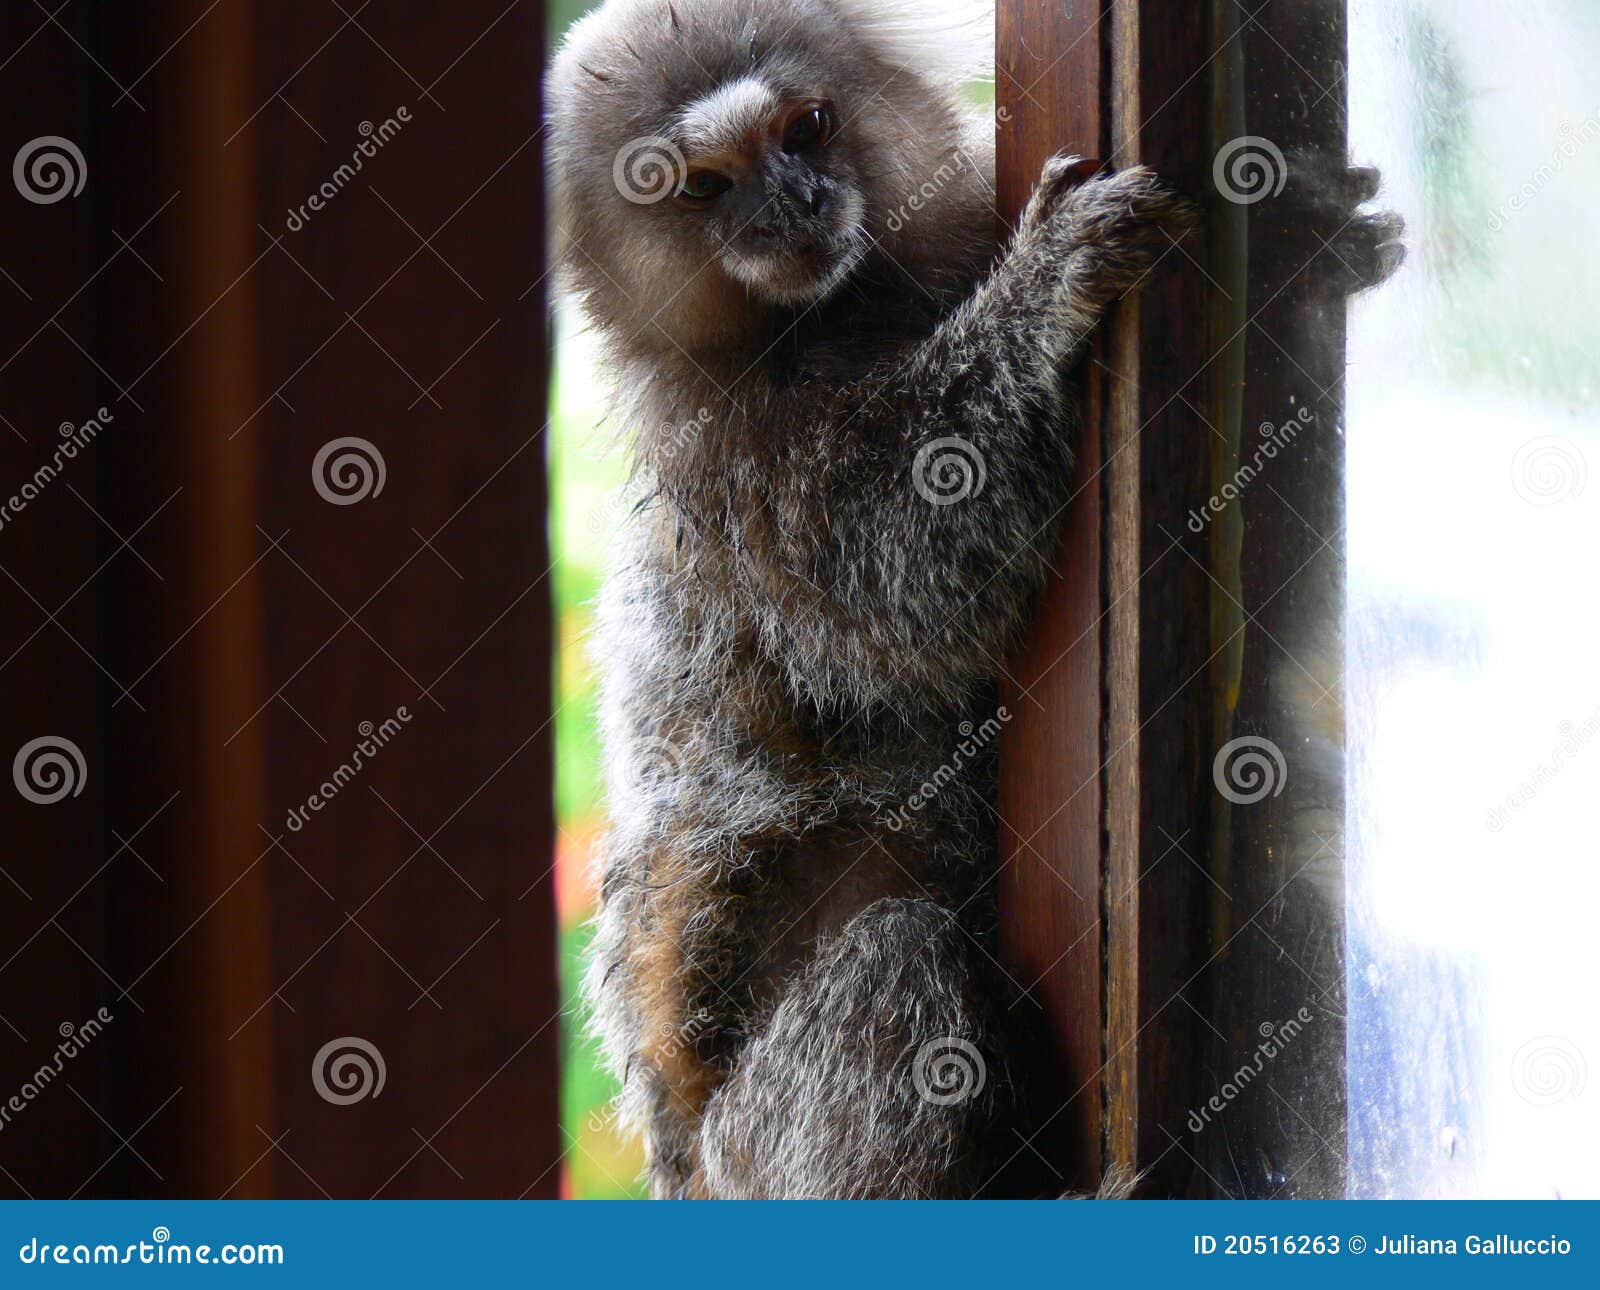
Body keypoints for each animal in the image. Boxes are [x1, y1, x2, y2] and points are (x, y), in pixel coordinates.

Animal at [548, 0, 1397, 1199]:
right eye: (705, 185)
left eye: (807, 129)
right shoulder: (740, 473)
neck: (839, 322)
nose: (793, 205)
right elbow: (925, 580)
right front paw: (1044, 283)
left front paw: (1296, 266)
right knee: (894, 962)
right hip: (758, 1148)